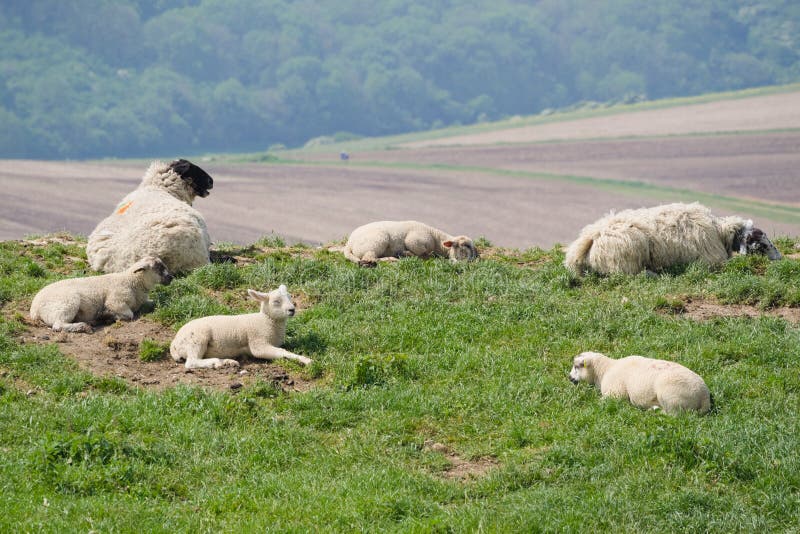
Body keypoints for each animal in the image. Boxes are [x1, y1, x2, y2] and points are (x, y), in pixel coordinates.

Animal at [29, 256, 173, 333]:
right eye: (159, 268)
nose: (171, 277)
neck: (132, 282)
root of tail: (34, 310)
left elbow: (151, 303)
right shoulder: (116, 301)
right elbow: (129, 314)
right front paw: (108, 315)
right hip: (67, 303)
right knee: (58, 325)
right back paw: (83, 326)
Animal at [169, 285, 312, 370]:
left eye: (290, 297)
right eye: (276, 302)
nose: (292, 310)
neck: (266, 321)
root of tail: (174, 343)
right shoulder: (258, 343)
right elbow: (282, 352)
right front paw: (306, 360)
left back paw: (228, 362)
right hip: (197, 339)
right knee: (192, 362)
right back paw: (217, 362)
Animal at [342, 220, 479, 267]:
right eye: (466, 245)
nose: (474, 260)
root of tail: (349, 243)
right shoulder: (415, 241)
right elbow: (424, 254)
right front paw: (406, 253)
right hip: (376, 241)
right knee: (369, 258)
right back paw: (392, 259)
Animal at [564, 202, 781, 275]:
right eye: (761, 244)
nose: (779, 259)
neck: (720, 231)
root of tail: (589, 237)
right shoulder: (711, 260)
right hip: (627, 254)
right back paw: (653, 273)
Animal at [569, 351, 711, 415]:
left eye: (577, 366)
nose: (569, 378)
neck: (604, 370)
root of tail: (704, 395)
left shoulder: (615, 394)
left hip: (671, 397)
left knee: (674, 415)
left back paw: (654, 411)